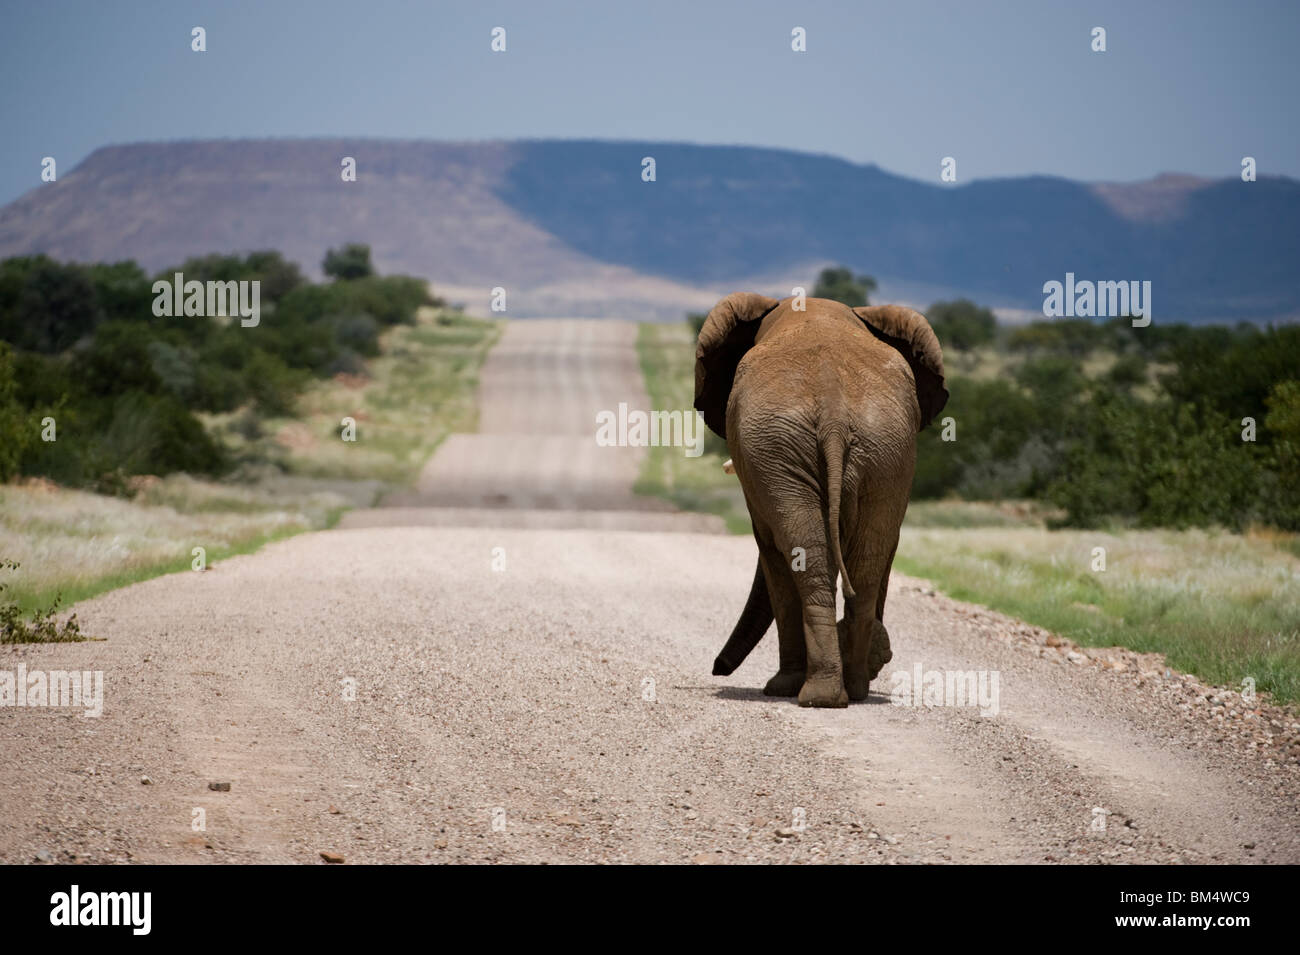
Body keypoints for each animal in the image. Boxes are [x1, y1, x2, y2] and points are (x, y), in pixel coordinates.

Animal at [695, 293, 948, 707]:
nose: (717, 668)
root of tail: (833, 415)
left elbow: (771, 553)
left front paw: (781, 687)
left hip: (792, 450)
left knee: (801, 557)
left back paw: (809, 693)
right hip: (884, 451)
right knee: (864, 564)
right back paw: (853, 688)